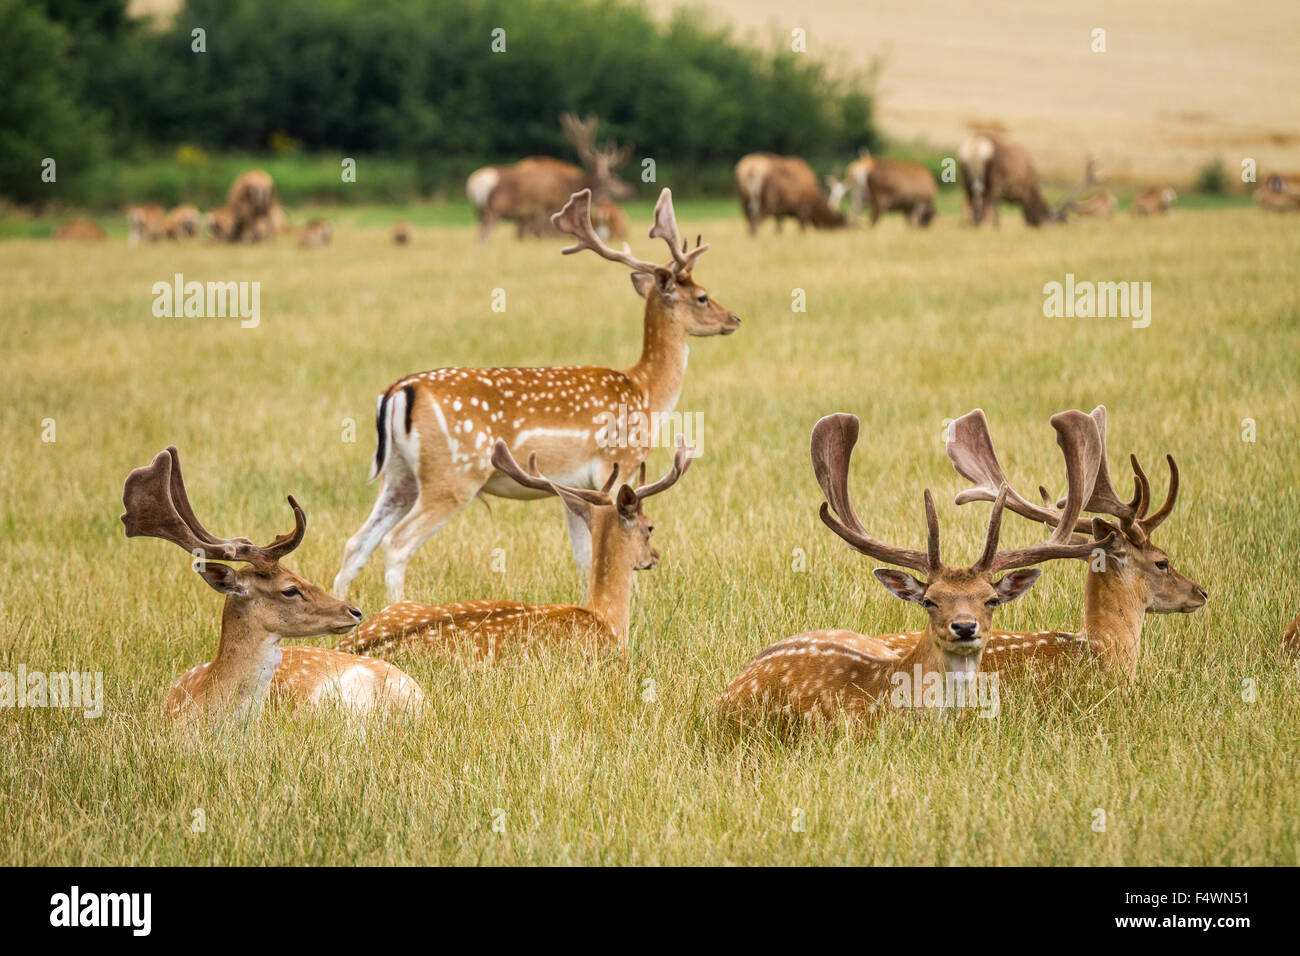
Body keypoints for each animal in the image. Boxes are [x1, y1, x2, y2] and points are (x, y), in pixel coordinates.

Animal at [333, 187, 739, 603]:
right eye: (703, 296)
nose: (734, 319)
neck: (645, 391)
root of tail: (398, 391)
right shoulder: (618, 464)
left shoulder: (578, 488)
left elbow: (584, 557)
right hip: (453, 475)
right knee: (396, 544)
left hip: (399, 476)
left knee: (356, 543)